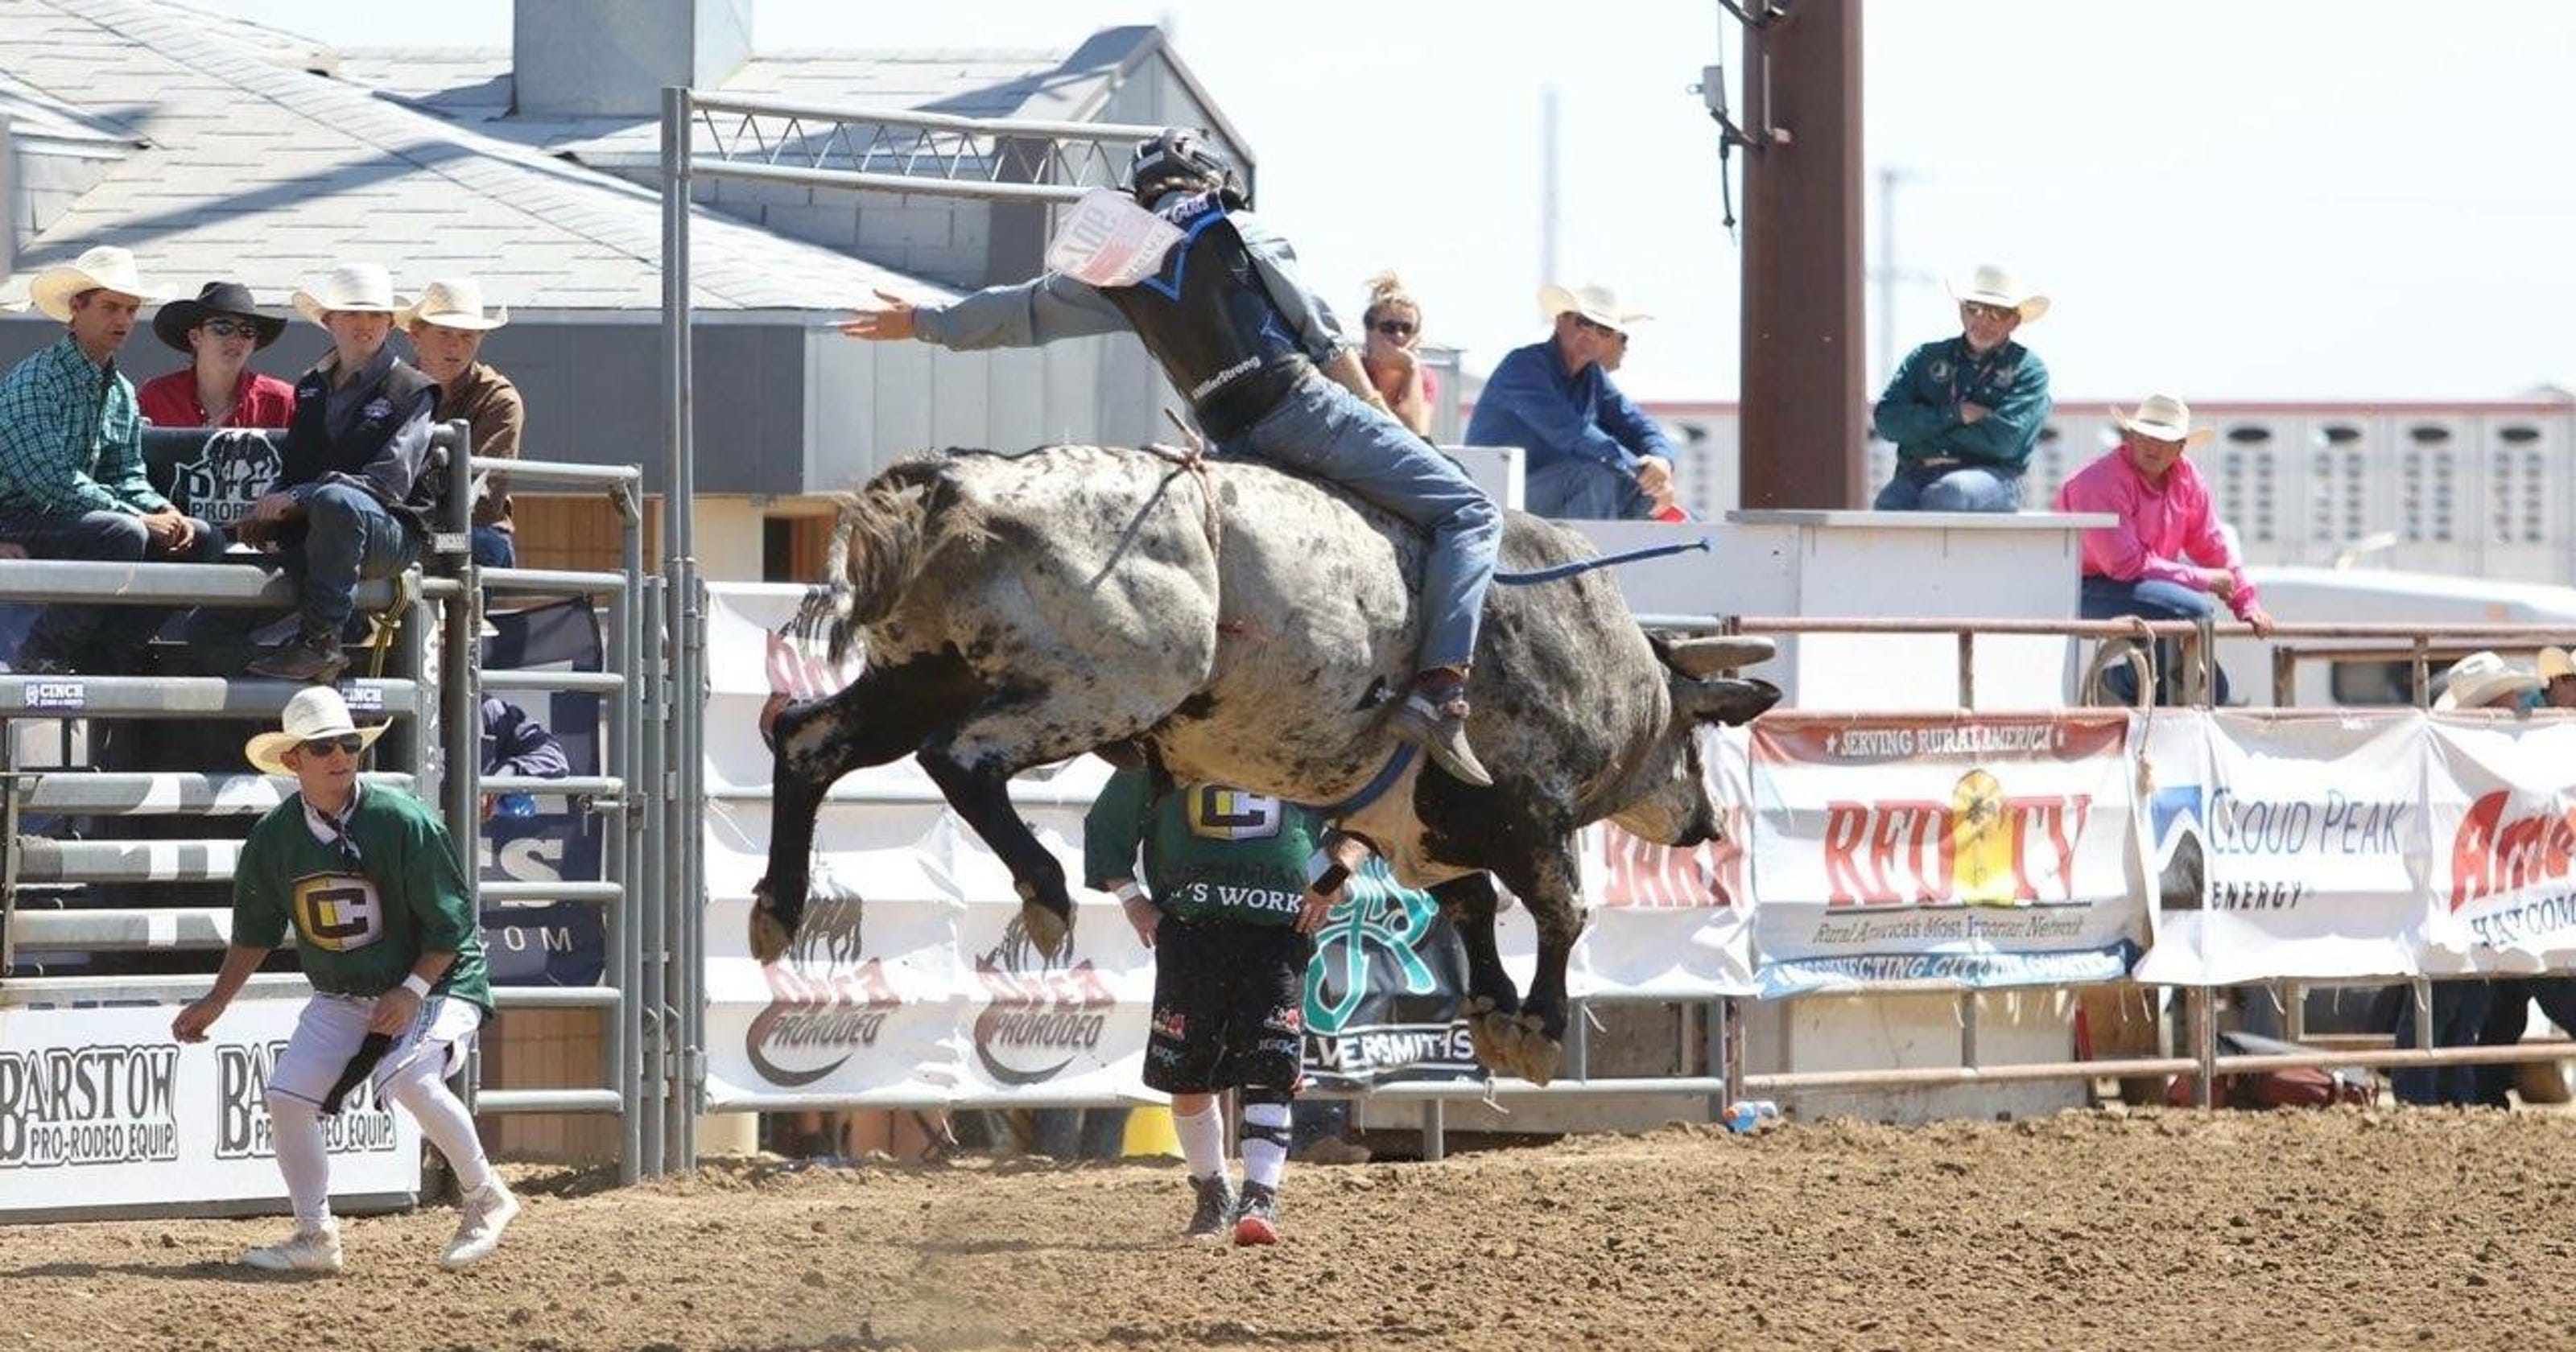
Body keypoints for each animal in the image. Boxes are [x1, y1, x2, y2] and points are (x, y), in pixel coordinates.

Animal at [753, 444, 1778, 1085]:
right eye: (1696, 742)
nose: (1704, 823)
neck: (1606, 663)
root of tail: (959, 482)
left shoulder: (1428, 825)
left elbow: (1470, 908)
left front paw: (1491, 1011)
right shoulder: (1523, 812)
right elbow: (1561, 910)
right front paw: (1537, 1027)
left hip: (919, 671)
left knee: (807, 741)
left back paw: (778, 908)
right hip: (1096, 685)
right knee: (960, 760)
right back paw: (1042, 890)